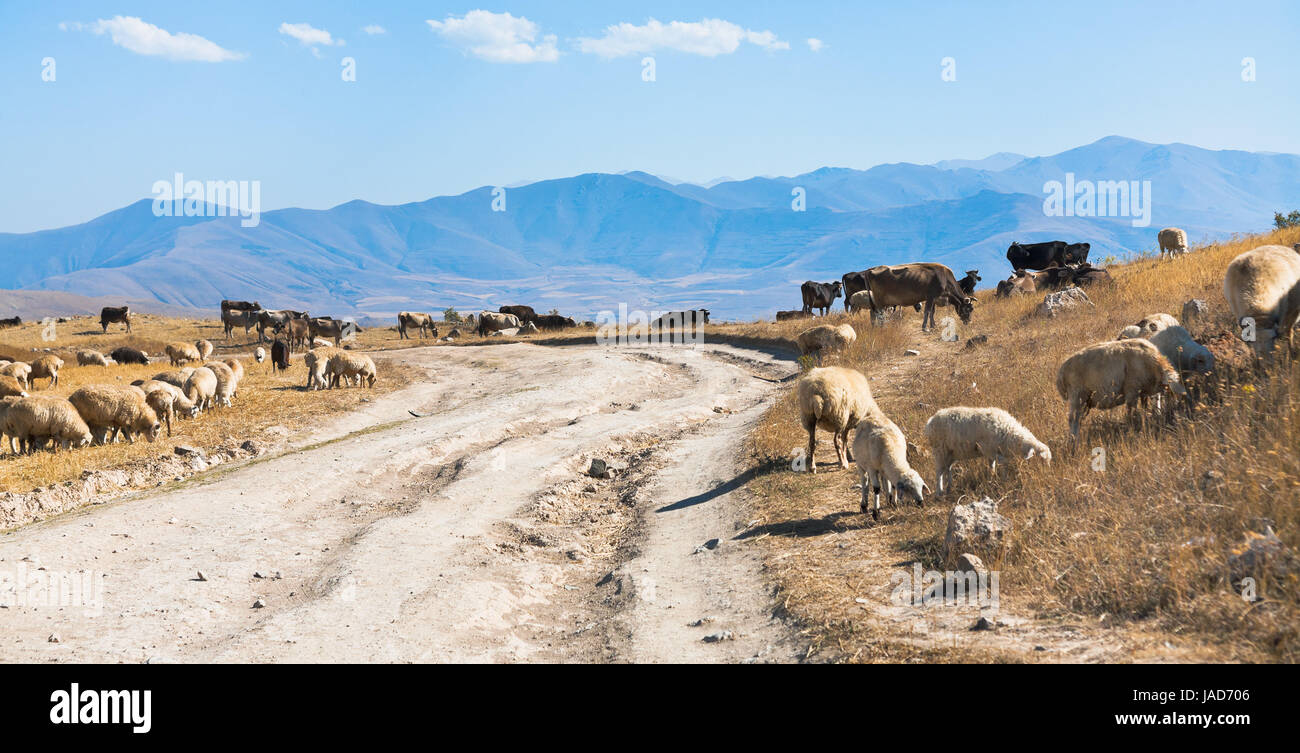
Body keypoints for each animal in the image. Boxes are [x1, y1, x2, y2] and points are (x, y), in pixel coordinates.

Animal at [1056, 339, 1187, 438]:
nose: (1176, 417)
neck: (1155, 365)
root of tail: (1061, 372)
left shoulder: (1143, 392)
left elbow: (1145, 407)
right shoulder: (1132, 390)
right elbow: (1131, 413)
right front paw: (1133, 430)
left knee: (1076, 420)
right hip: (1077, 395)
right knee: (1073, 420)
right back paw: (1074, 442)